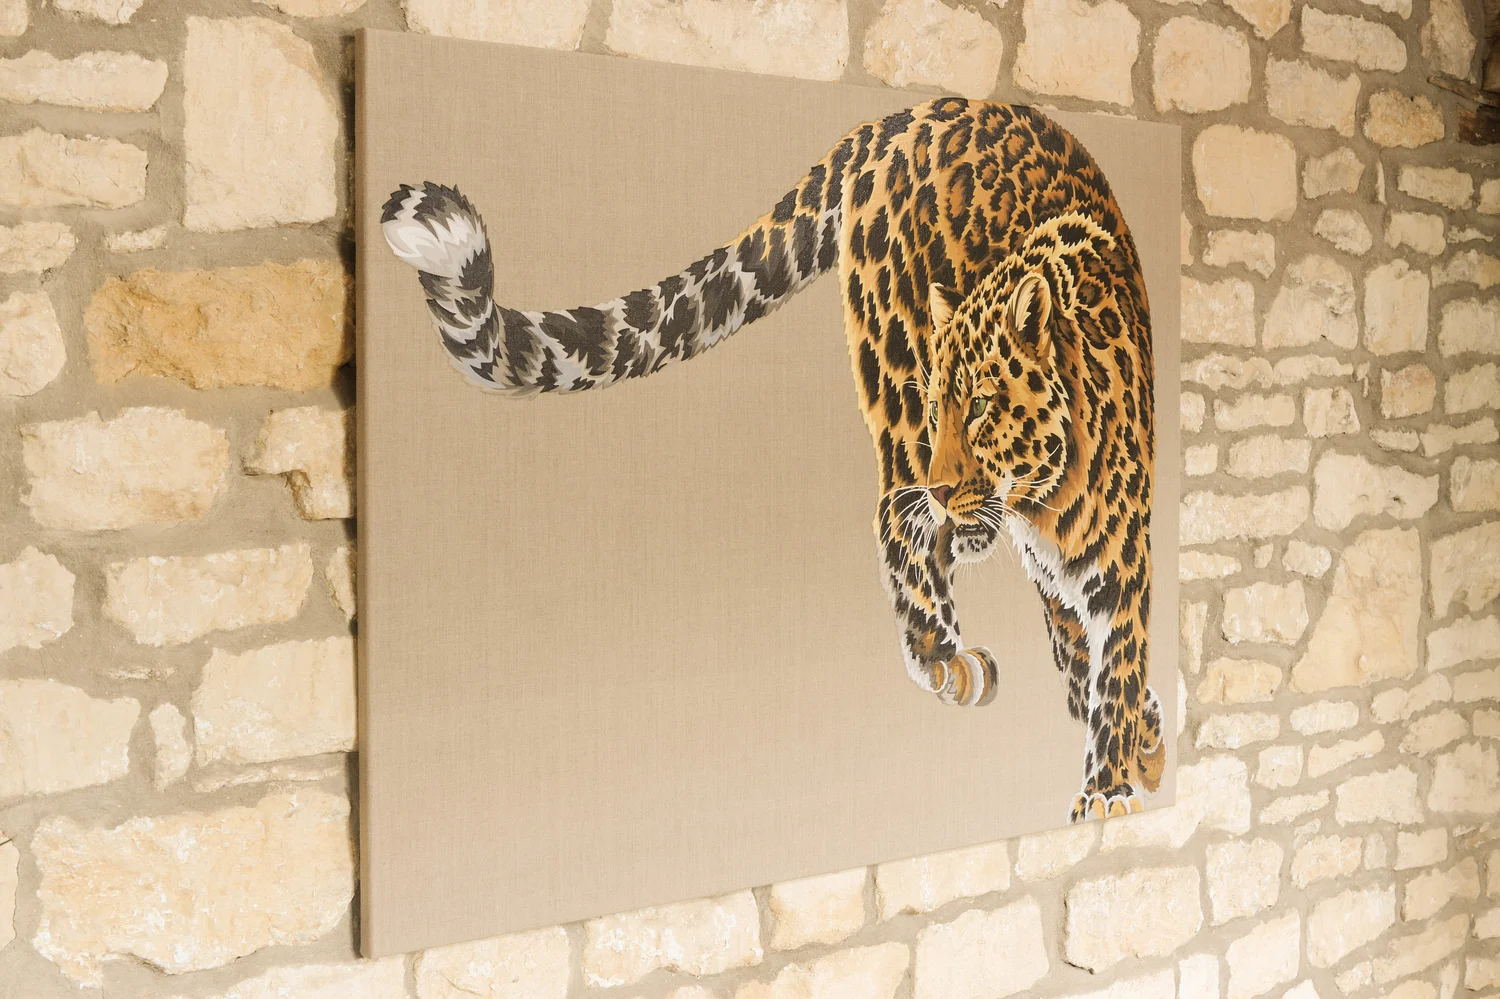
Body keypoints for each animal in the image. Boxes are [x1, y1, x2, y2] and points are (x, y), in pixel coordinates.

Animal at [382, 97, 1162, 822]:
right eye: (946, 407)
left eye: (981, 407)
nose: (945, 488)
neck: (1050, 491)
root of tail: (904, 118)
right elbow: (1098, 657)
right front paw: (1111, 780)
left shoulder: (1116, 550)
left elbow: (1109, 654)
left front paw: (1130, 751)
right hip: (893, 365)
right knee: (894, 514)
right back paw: (943, 653)